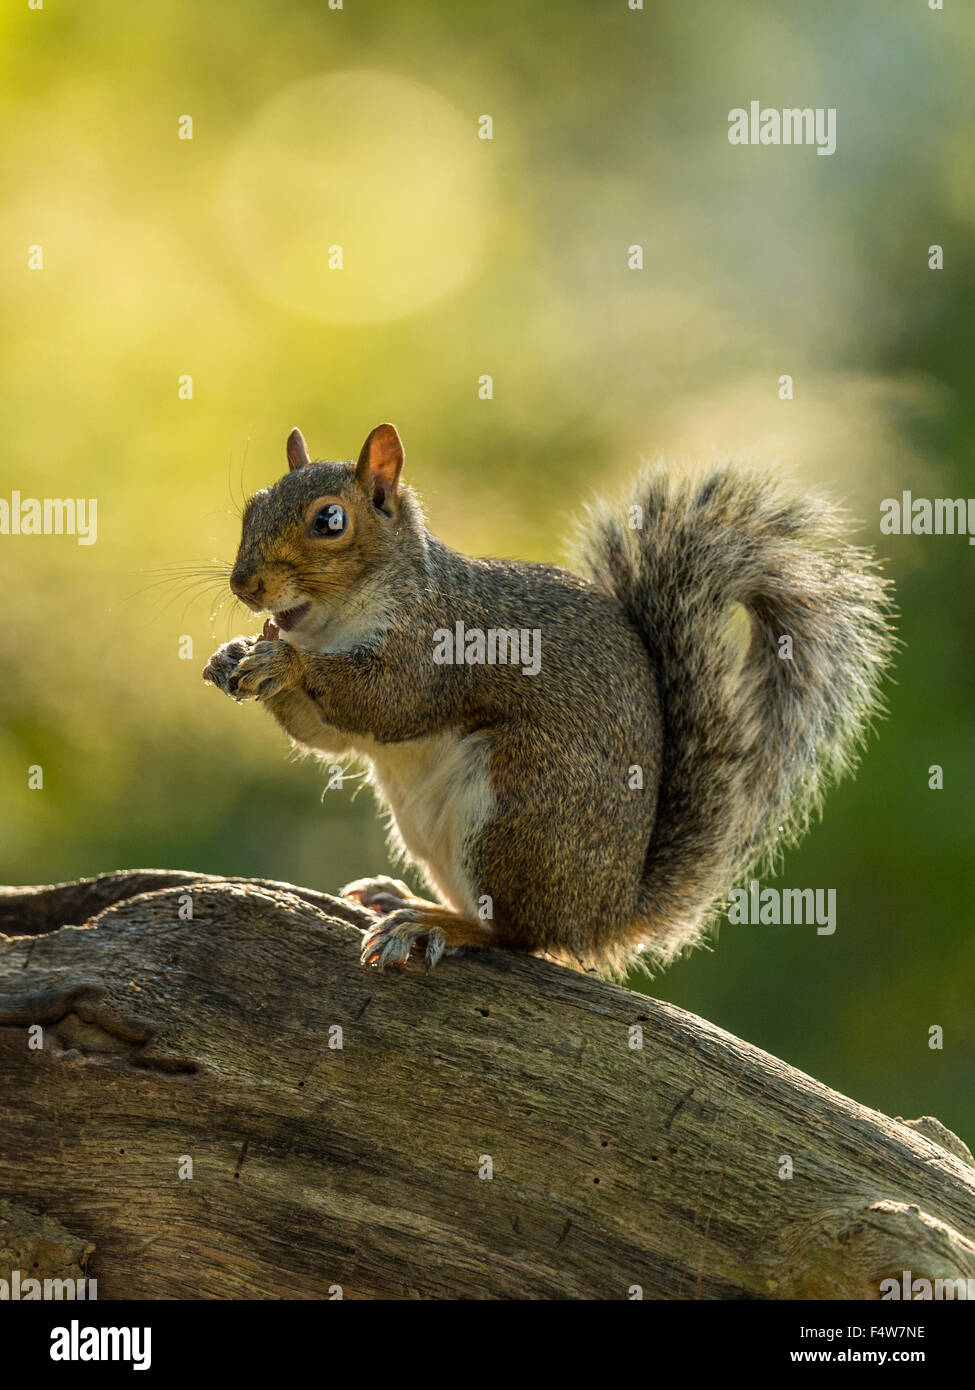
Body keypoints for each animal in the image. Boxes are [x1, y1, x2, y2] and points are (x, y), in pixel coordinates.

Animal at [203, 422, 894, 975]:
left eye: (330, 521)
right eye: (253, 504)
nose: (244, 585)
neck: (334, 623)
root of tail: (605, 914)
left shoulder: (439, 645)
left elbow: (388, 701)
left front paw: (285, 662)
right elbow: (328, 737)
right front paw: (234, 656)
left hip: (519, 808)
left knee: (519, 936)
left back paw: (435, 924)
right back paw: (403, 898)